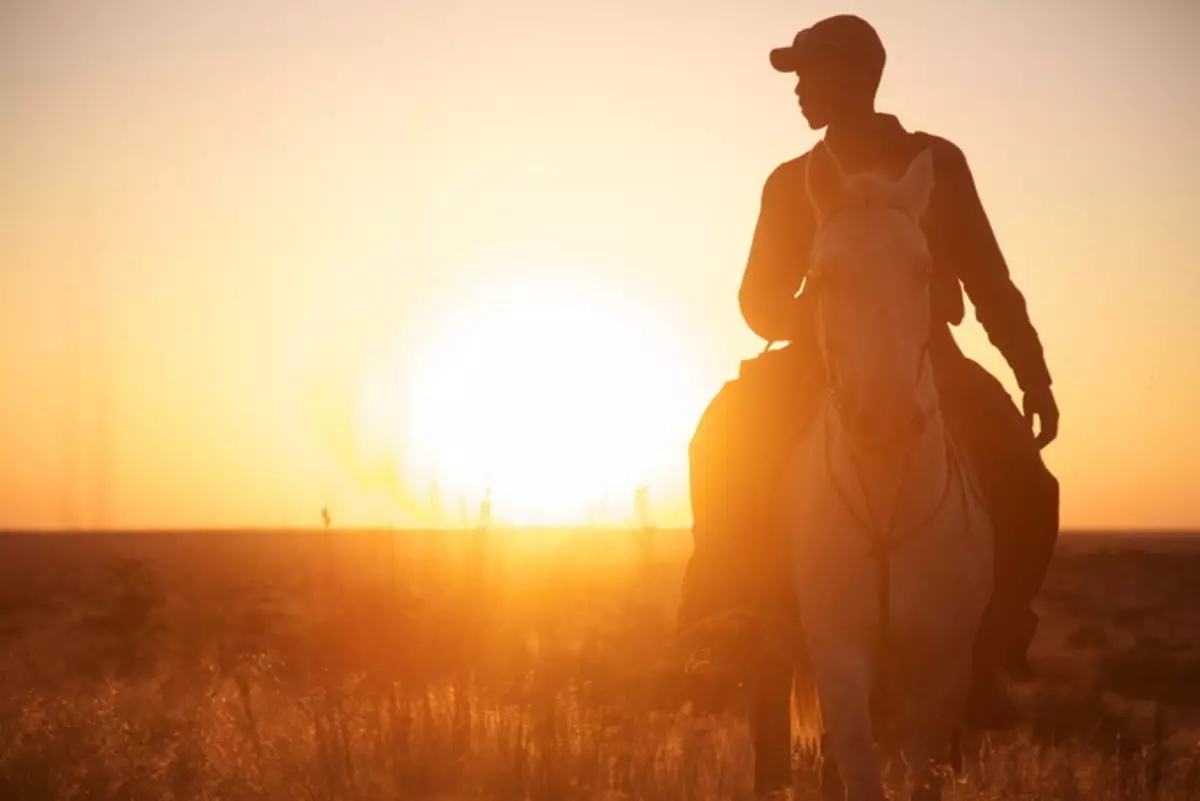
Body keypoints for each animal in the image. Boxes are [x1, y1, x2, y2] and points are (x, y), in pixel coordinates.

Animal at [777, 145, 993, 801]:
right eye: (824, 276)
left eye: (923, 269)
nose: (887, 419)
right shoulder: (841, 663)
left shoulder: (944, 668)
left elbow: (921, 772)